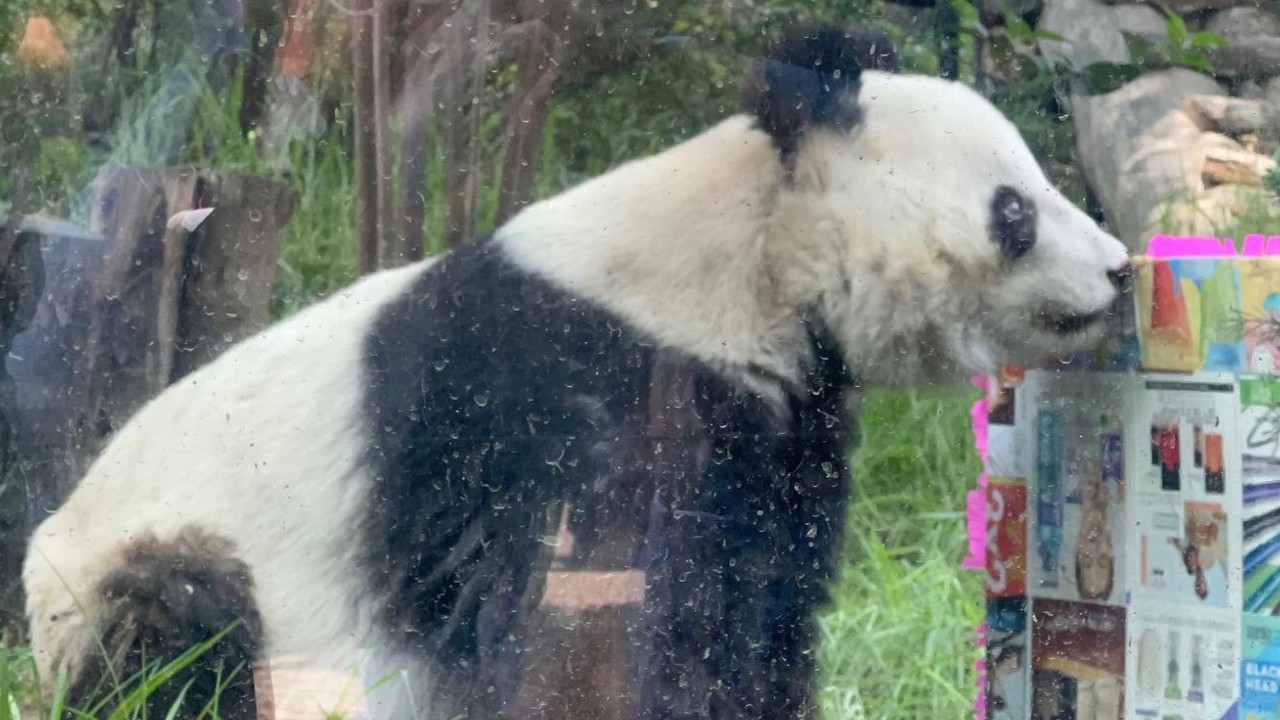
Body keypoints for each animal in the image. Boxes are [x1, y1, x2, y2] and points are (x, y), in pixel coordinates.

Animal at [22, 25, 1131, 720]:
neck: (749, 264)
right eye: (1015, 208)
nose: (1122, 271)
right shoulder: (571, 394)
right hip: (121, 582)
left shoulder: (772, 428)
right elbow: (593, 615)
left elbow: (759, 604)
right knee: (185, 624)